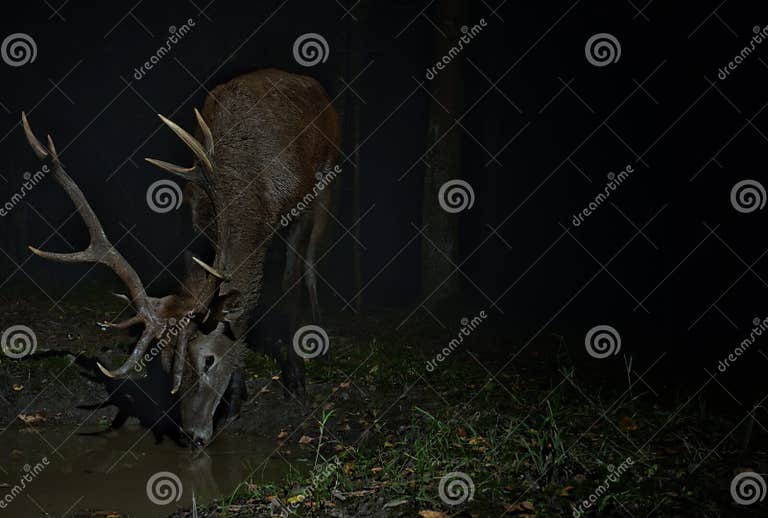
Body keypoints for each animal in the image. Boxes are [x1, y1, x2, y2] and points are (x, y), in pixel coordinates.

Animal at [22, 68, 341, 446]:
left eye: (208, 360)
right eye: (164, 363)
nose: (193, 435)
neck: (253, 198)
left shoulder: (299, 201)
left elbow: (286, 283)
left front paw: (295, 381)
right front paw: (236, 401)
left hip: (328, 180)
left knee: (308, 262)